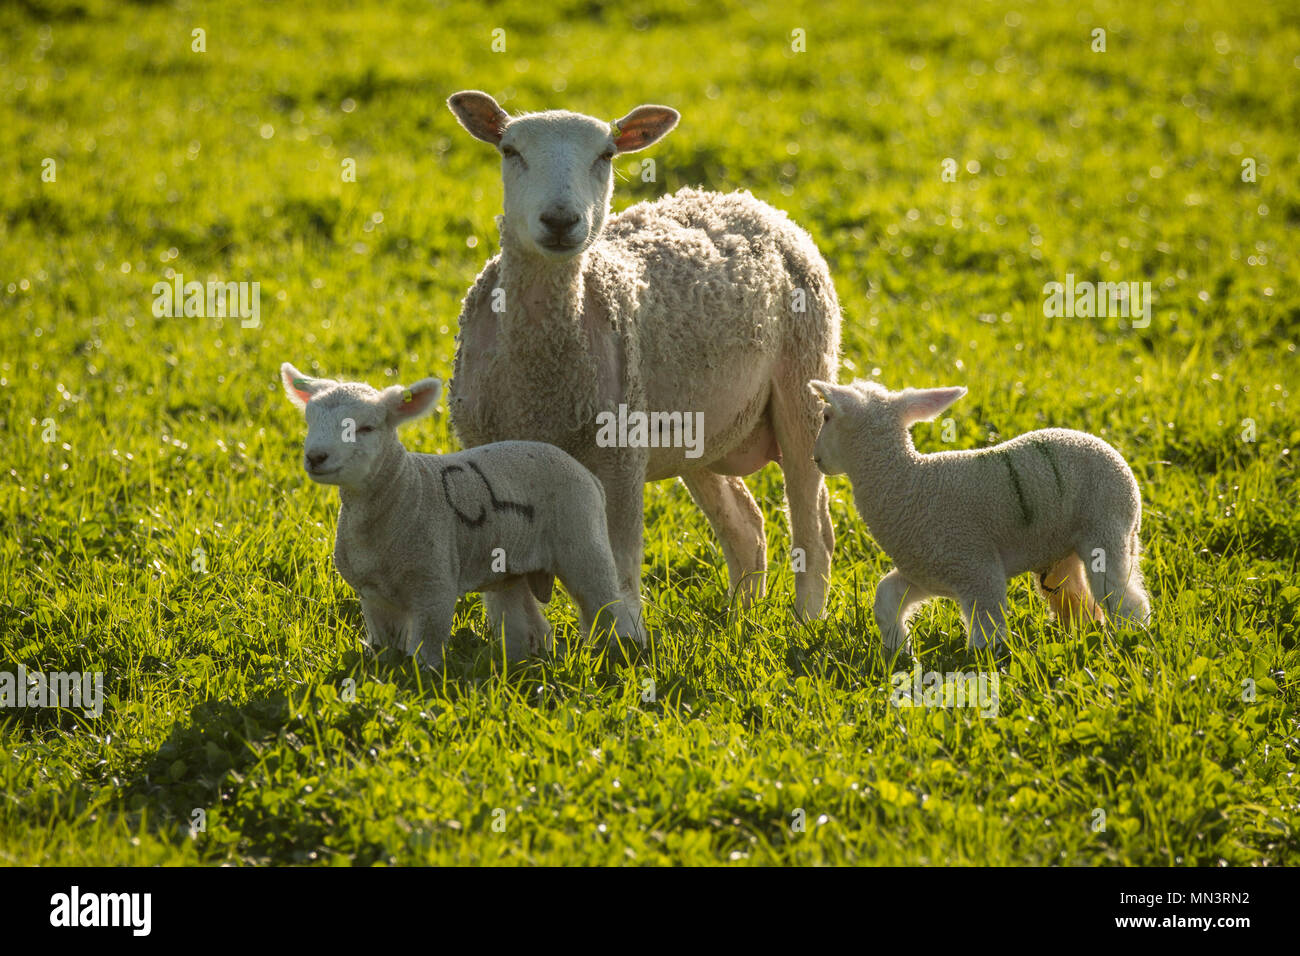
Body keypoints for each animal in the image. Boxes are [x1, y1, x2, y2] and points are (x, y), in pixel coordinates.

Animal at [280, 362, 642, 662]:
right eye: (309, 422)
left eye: (366, 428)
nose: (315, 457)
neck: (405, 489)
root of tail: (589, 476)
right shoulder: (372, 595)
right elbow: (386, 650)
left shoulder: (434, 586)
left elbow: (424, 652)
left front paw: (422, 681)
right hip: (510, 565)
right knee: (528, 625)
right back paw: (522, 665)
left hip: (582, 540)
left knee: (607, 607)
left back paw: (622, 655)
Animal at [445, 90, 842, 652]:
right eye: (509, 150)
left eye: (607, 155)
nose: (561, 221)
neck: (539, 376)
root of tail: (749, 202)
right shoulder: (486, 449)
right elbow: (505, 584)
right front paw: (517, 652)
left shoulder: (620, 452)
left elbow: (619, 561)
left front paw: (623, 643)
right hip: (699, 426)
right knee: (746, 526)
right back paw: (740, 620)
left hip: (804, 382)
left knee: (813, 528)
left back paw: (805, 622)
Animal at [808, 378, 1151, 653]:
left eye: (826, 416)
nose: (816, 459)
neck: (907, 483)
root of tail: (1118, 458)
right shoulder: (927, 570)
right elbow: (885, 598)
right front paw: (898, 650)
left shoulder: (975, 565)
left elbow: (988, 630)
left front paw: (983, 666)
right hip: (1064, 549)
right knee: (1077, 598)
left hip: (1105, 528)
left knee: (1122, 596)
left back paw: (1133, 635)